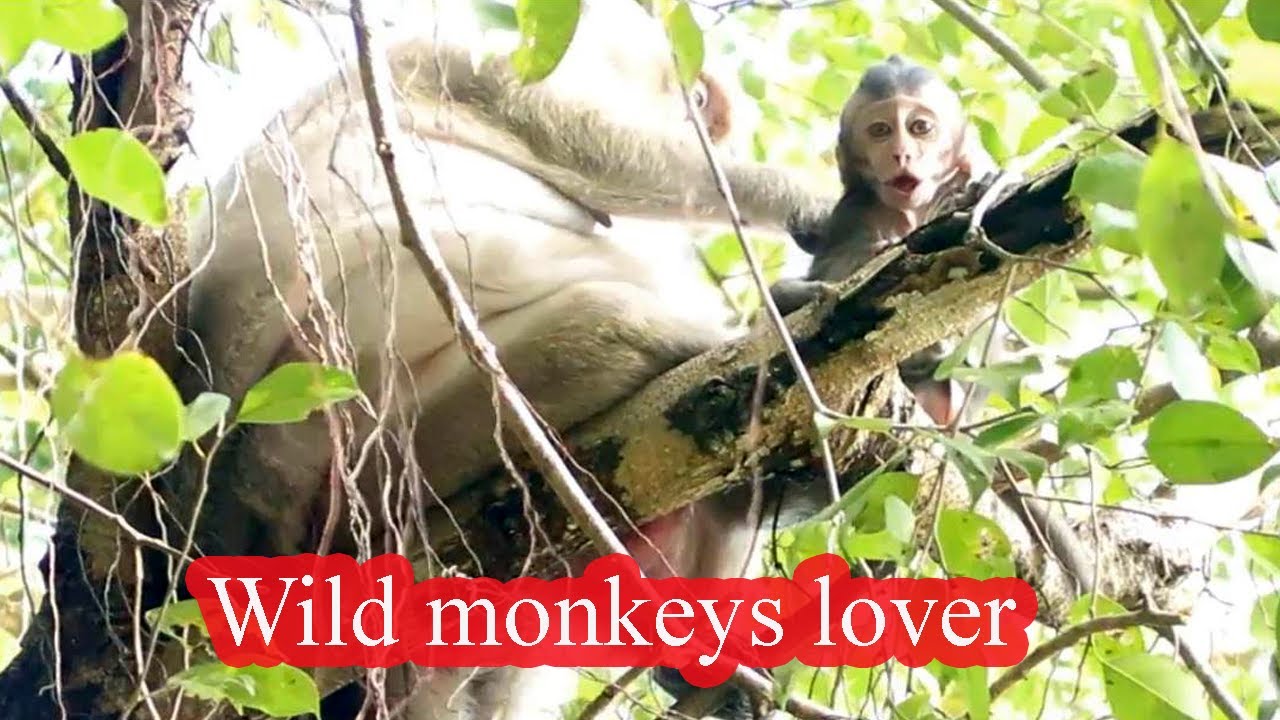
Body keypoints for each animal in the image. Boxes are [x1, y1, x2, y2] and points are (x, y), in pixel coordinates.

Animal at [171, 1, 837, 718]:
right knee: (609, 303)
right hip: (389, 373)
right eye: (699, 99)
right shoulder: (484, 59)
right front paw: (807, 202)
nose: (707, 117)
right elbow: (597, 148)